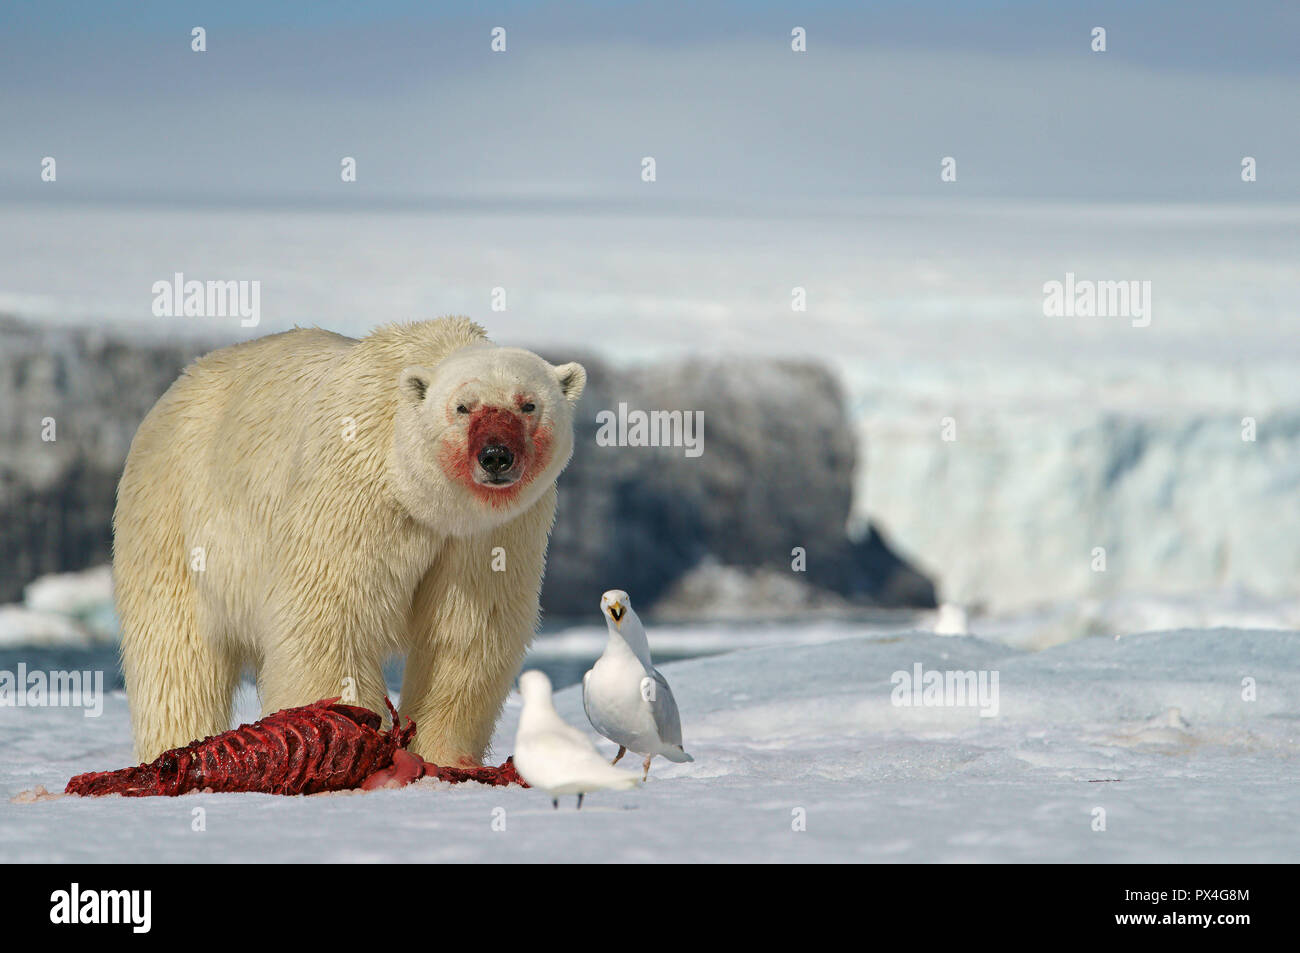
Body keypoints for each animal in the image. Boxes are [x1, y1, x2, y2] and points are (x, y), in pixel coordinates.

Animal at [114, 316, 586, 766]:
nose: (496, 456)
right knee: (176, 655)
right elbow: (333, 616)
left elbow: (466, 634)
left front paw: (445, 757)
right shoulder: (353, 487)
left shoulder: (493, 533)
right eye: (462, 407)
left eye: (528, 404)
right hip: (172, 514)